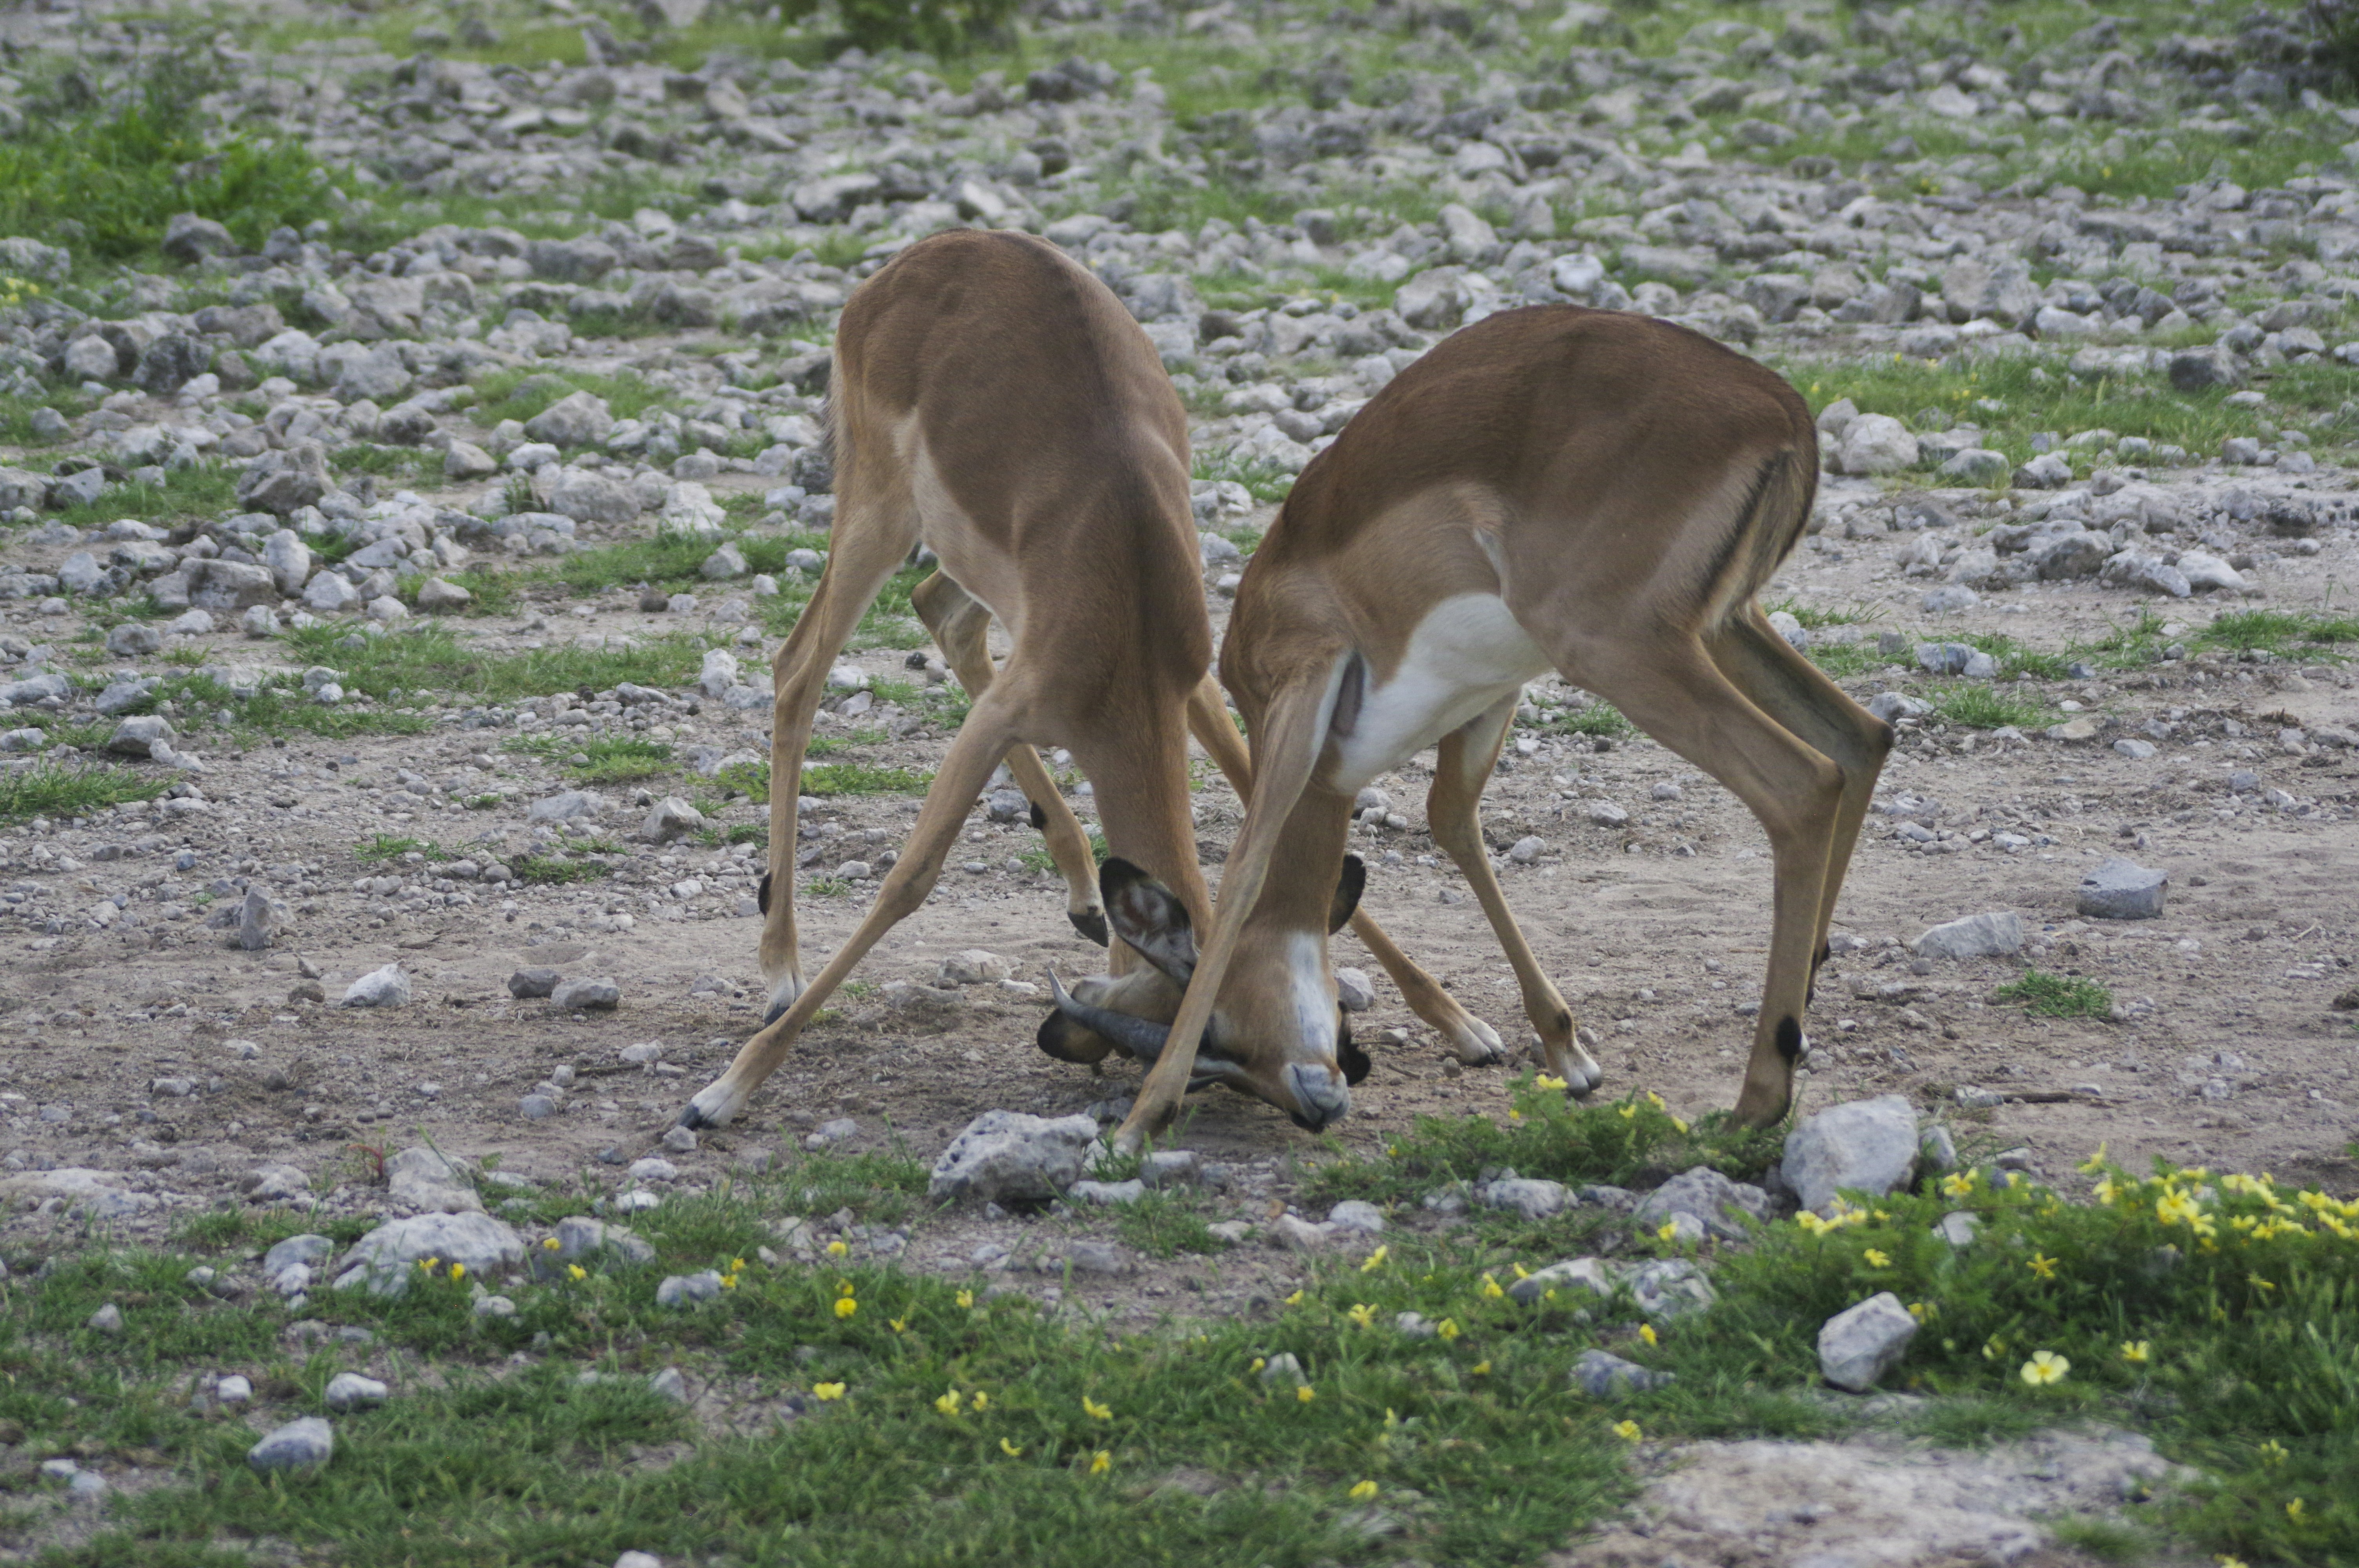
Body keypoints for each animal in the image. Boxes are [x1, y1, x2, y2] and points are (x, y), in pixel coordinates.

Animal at [678, 228, 1515, 1133]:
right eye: (1213, 1033)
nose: (1317, 1102)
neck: (1127, 609)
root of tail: (934, 249)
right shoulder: (1004, 713)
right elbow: (911, 878)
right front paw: (726, 1087)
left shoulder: (1186, 684)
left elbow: (1256, 787)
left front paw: (1465, 1022)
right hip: (876, 512)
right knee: (798, 668)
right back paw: (778, 974)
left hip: (959, 565)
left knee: (941, 612)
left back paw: (1082, 889)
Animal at [1086, 303, 1893, 1155]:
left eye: (1225, 1034)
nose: (1311, 1103)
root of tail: (1783, 411)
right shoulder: (1487, 695)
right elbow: (1450, 820)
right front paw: (1565, 1052)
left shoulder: (1300, 690)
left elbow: (1244, 869)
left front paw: (1139, 1120)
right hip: (1722, 627)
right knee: (1860, 736)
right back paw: (1800, 1013)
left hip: (1618, 648)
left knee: (1804, 782)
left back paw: (1755, 1099)